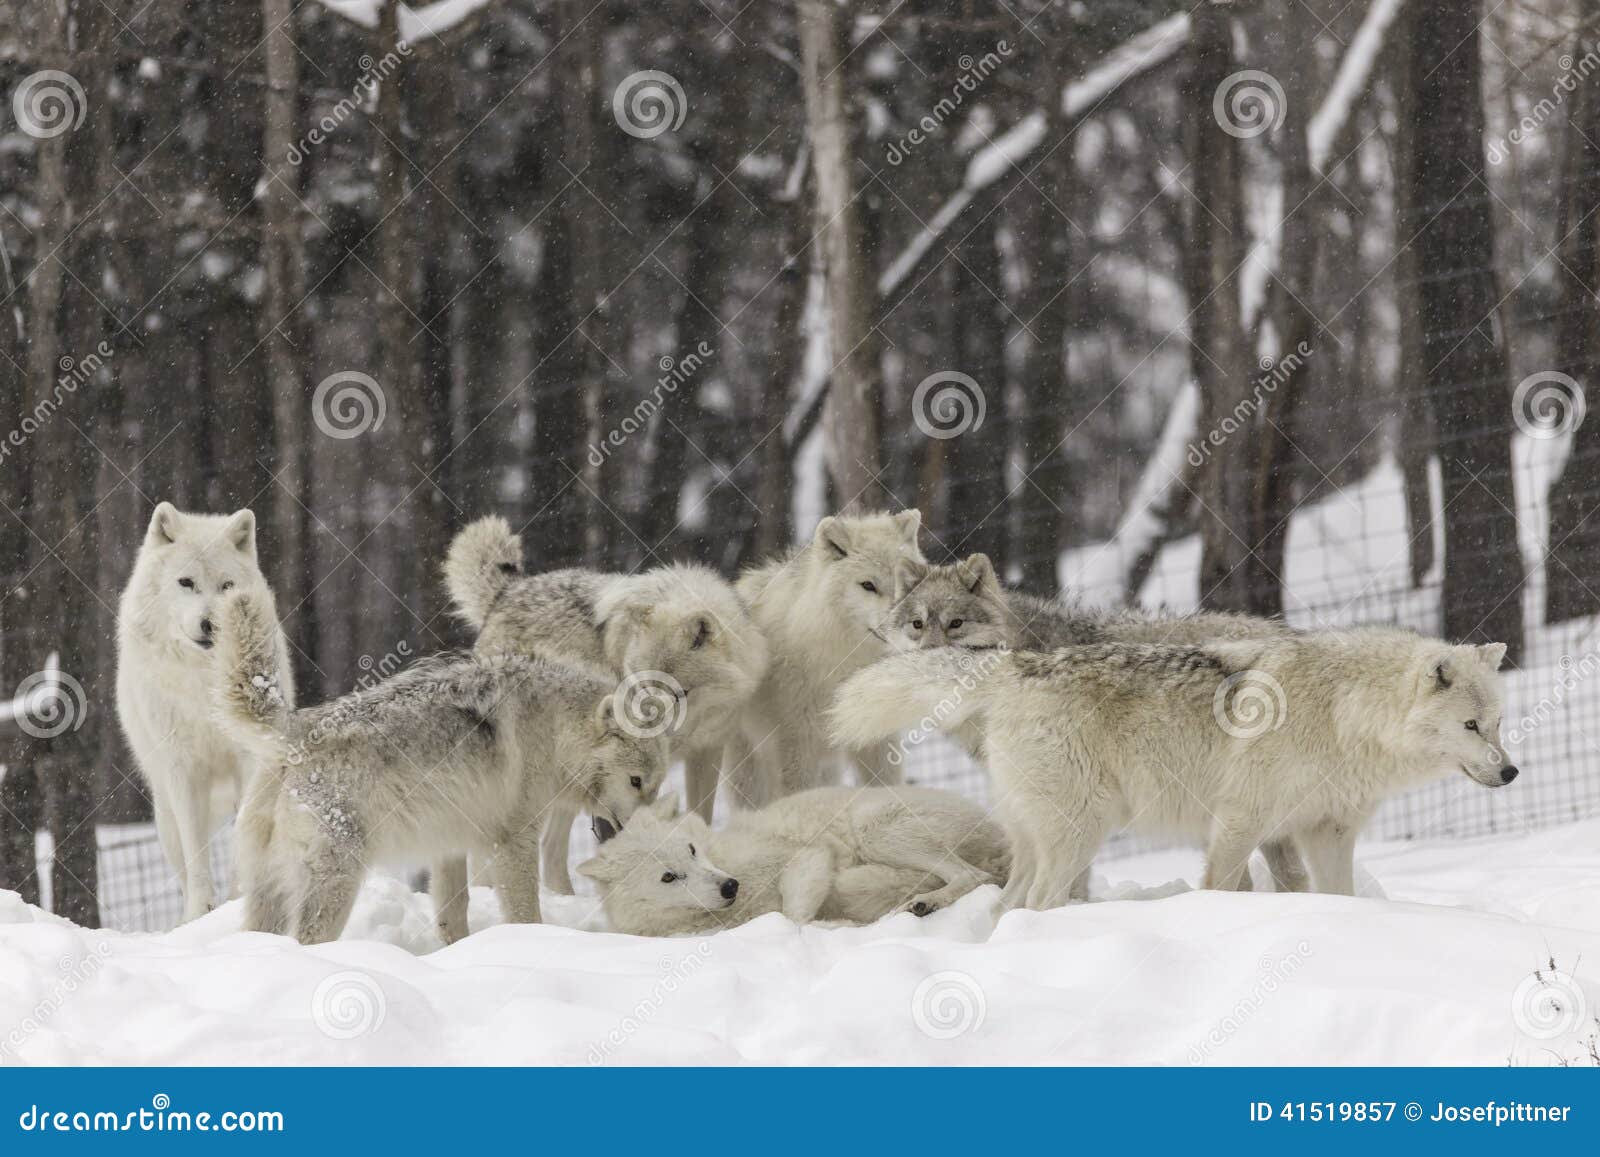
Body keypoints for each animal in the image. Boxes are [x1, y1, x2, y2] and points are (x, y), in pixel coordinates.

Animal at [115, 503, 295, 923]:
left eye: (227, 586)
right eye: (186, 582)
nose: (210, 624)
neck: (203, 680)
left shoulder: (248, 760)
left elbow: (241, 837)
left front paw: (237, 899)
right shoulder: (183, 768)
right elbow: (197, 856)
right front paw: (203, 912)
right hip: (164, 817)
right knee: (181, 866)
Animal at [214, 587, 669, 944]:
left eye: (654, 787)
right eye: (635, 781)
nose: (642, 839)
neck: (556, 728)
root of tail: (300, 725)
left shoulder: (449, 845)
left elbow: (454, 914)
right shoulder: (514, 843)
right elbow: (526, 913)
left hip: (269, 891)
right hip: (337, 879)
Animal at [434, 516, 767, 932]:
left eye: (674, 692)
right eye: (636, 684)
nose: (642, 729)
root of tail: (508, 591)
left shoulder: (708, 749)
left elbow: (698, 814)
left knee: (550, 849)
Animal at [578, 785, 1010, 936]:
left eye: (691, 849)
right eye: (669, 877)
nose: (730, 886)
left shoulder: (807, 855)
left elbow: (792, 916)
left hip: (873, 827)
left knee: (973, 876)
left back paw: (924, 904)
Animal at [831, 629, 1517, 909]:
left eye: (1498, 723)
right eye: (1470, 727)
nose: (1511, 773)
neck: (1345, 712)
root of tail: (1016, 664)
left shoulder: (1326, 831)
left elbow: (1336, 895)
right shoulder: (1240, 822)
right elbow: (1220, 887)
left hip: (1040, 839)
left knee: (1007, 906)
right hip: (1082, 832)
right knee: (1039, 901)